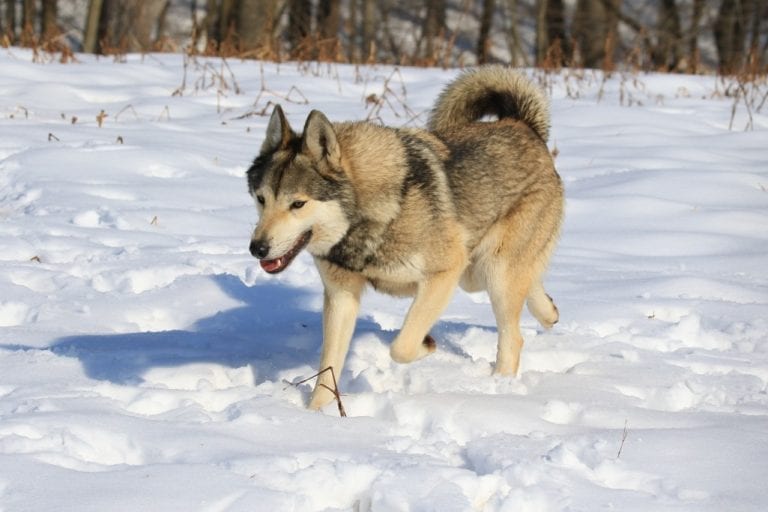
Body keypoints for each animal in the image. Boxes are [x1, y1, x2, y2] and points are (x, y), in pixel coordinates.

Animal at [246, 66, 564, 410]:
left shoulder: (444, 273)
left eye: (298, 204)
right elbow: (327, 370)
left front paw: (427, 344)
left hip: (490, 272)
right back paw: (549, 314)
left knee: (513, 337)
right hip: (478, 274)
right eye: (261, 199)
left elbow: (401, 346)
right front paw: (316, 414)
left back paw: (500, 387)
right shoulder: (341, 296)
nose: (257, 248)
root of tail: (524, 126)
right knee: (531, 283)